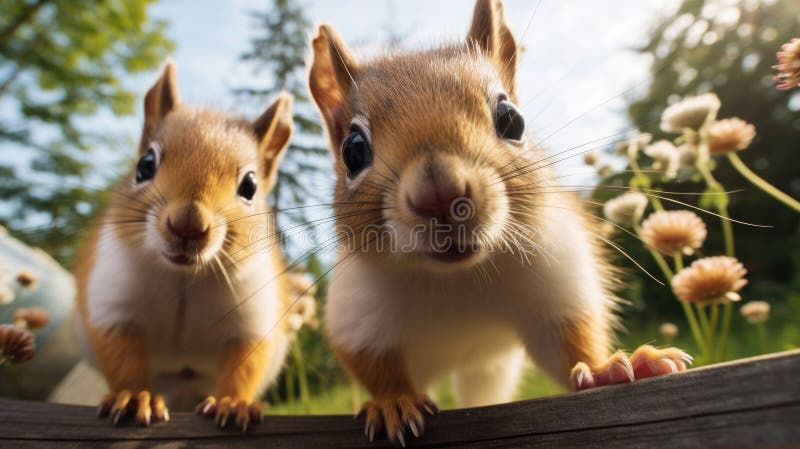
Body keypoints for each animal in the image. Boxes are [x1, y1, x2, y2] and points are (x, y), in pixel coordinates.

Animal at [74, 61, 296, 430]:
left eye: (250, 186)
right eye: (144, 165)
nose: (187, 225)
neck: (183, 278)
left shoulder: (251, 315)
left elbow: (244, 363)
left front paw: (233, 403)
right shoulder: (114, 301)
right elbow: (123, 355)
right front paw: (134, 398)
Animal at [308, 0, 691, 445]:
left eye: (512, 120)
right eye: (353, 151)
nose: (439, 195)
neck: (458, 279)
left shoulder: (557, 285)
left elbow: (567, 344)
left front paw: (608, 370)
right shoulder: (360, 316)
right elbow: (377, 366)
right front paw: (394, 403)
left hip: (491, 369)